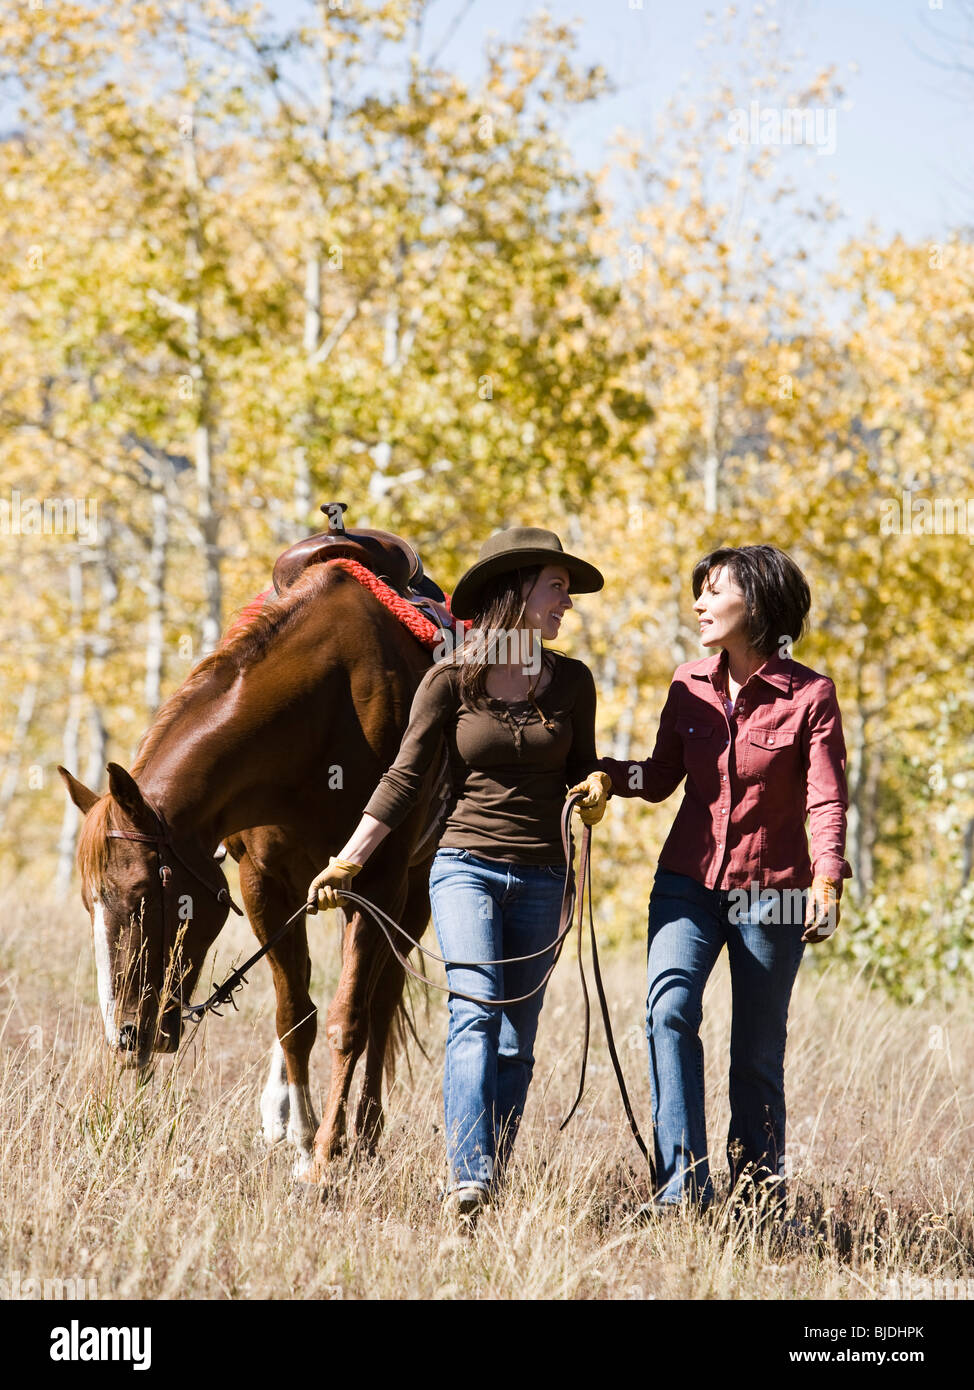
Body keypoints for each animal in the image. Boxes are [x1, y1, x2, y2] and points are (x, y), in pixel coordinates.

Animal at [58, 558, 445, 1177]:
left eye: (143, 893)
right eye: (89, 904)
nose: (125, 1037)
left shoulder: (376, 886)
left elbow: (350, 1020)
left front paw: (329, 1150)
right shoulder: (265, 884)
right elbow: (295, 1016)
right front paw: (305, 1136)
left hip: (413, 894)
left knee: (382, 1003)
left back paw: (364, 1132)